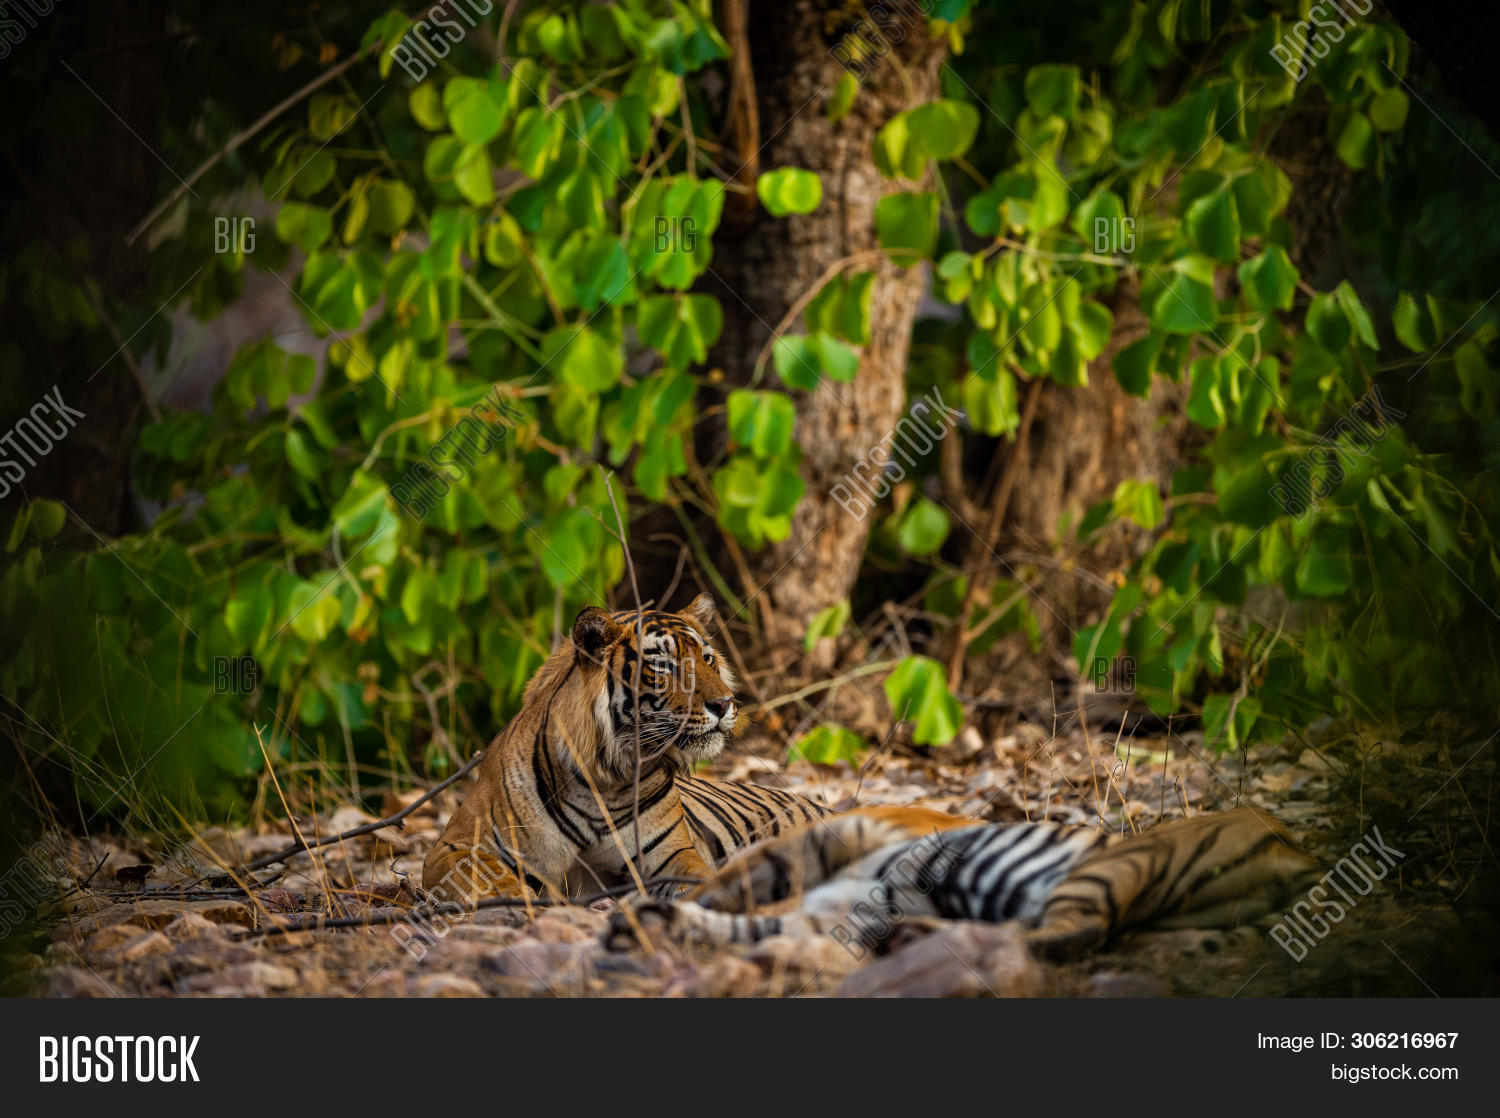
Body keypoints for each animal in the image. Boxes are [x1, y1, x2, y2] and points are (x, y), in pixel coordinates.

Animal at [422, 594, 824, 903]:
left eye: (707, 658)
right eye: (664, 665)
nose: (725, 704)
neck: (603, 780)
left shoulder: (670, 854)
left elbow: (695, 876)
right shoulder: (453, 844)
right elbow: (478, 871)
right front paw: (510, 896)